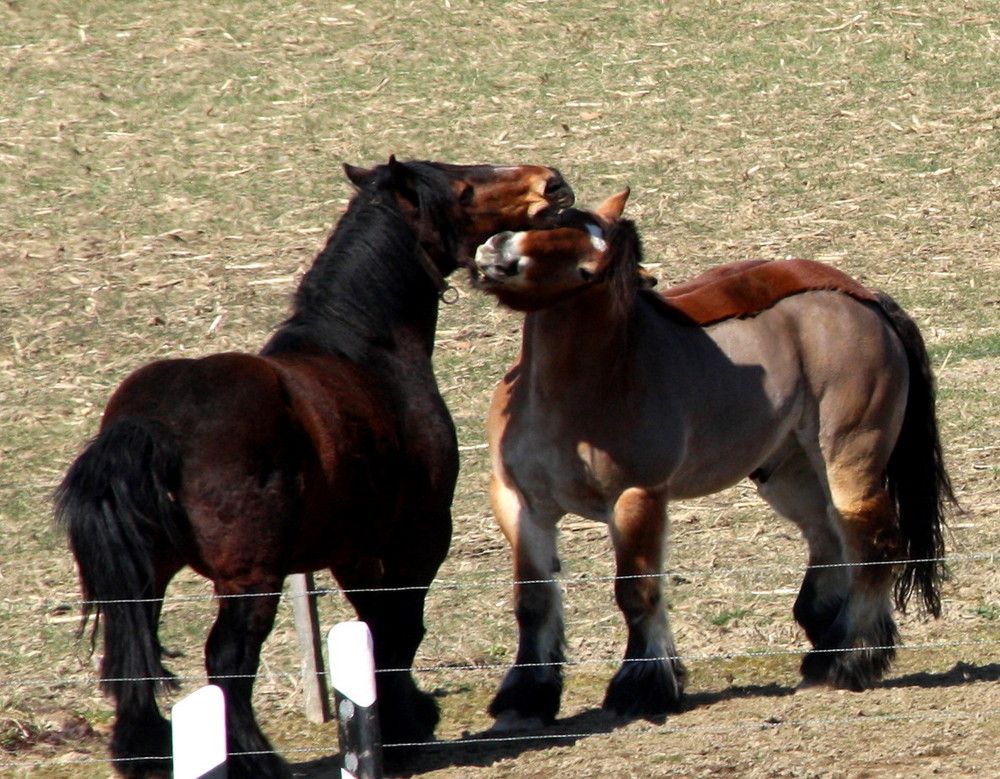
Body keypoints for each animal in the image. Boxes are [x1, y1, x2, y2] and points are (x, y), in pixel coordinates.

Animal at [55, 157, 575, 778]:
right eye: (464, 188)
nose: (550, 182)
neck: (365, 348)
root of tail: (147, 424)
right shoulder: (418, 535)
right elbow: (401, 625)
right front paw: (407, 728)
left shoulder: (354, 548)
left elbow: (376, 624)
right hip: (251, 580)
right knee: (227, 661)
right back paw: (258, 759)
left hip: (146, 577)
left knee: (129, 653)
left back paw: (148, 753)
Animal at [468, 189, 955, 729]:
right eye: (552, 218)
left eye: (588, 269)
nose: (496, 251)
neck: (578, 389)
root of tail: (864, 298)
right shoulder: (520, 503)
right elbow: (533, 600)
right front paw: (525, 698)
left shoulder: (637, 497)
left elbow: (637, 591)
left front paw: (642, 686)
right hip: (787, 472)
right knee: (829, 538)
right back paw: (826, 648)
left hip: (849, 455)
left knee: (873, 543)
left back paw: (850, 659)